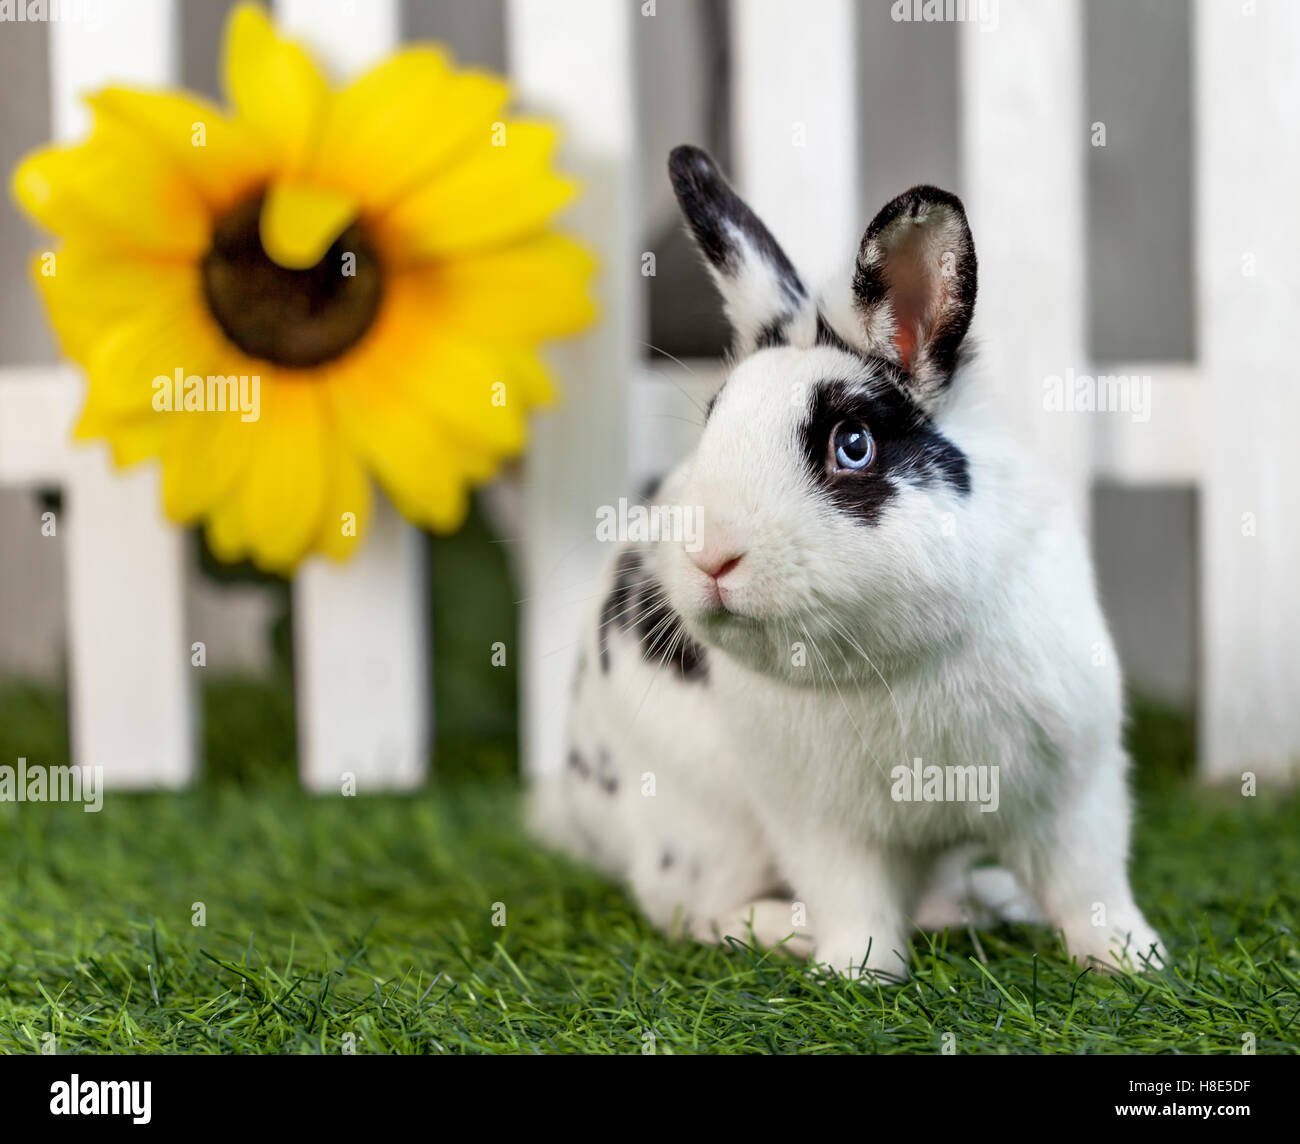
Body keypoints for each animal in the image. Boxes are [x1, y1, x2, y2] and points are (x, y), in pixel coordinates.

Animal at [529, 144, 1165, 982]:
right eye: (712, 422)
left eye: (853, 445)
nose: (711, 557)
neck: (891, 659)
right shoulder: (821, 826)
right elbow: (853, 902)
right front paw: (854, 974)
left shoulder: (1075, 787)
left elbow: (1090, 886)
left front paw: (1132, 960)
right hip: (696, 821)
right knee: (690, 908)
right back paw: (792, 931)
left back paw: (984, 905)